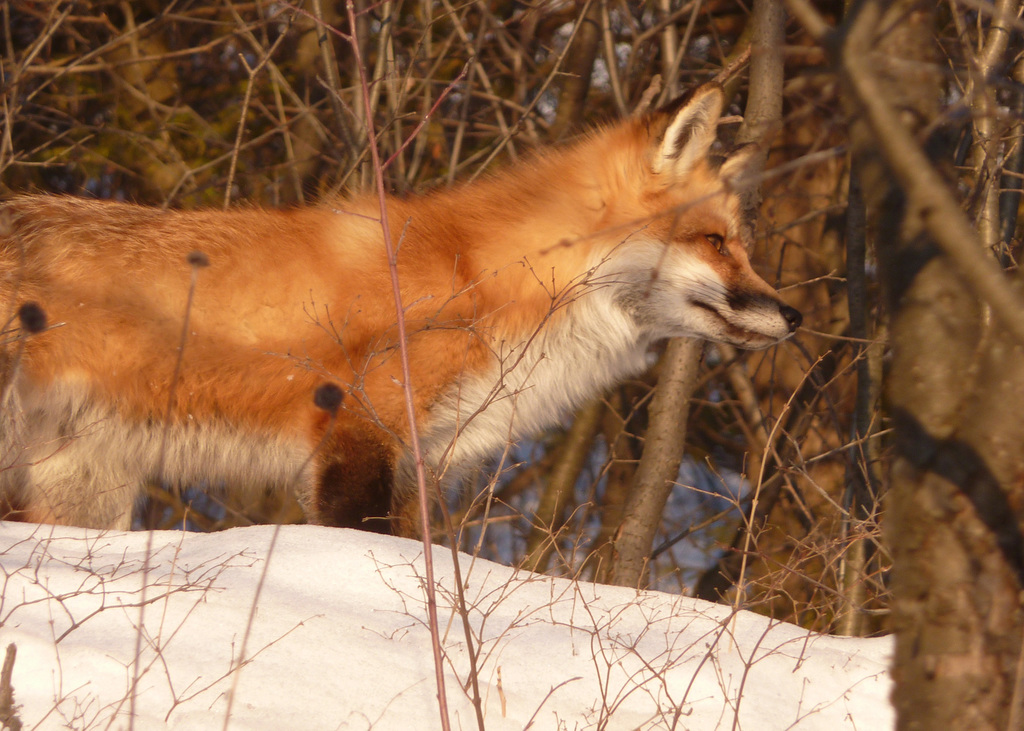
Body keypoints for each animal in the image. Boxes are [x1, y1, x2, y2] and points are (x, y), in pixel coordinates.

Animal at [0, 84, 800, 535]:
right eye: (715, 242)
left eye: (743, 245)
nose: (791, 317)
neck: (486, 280)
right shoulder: (359, 432)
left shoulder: (423, 463)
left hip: (82, 492)